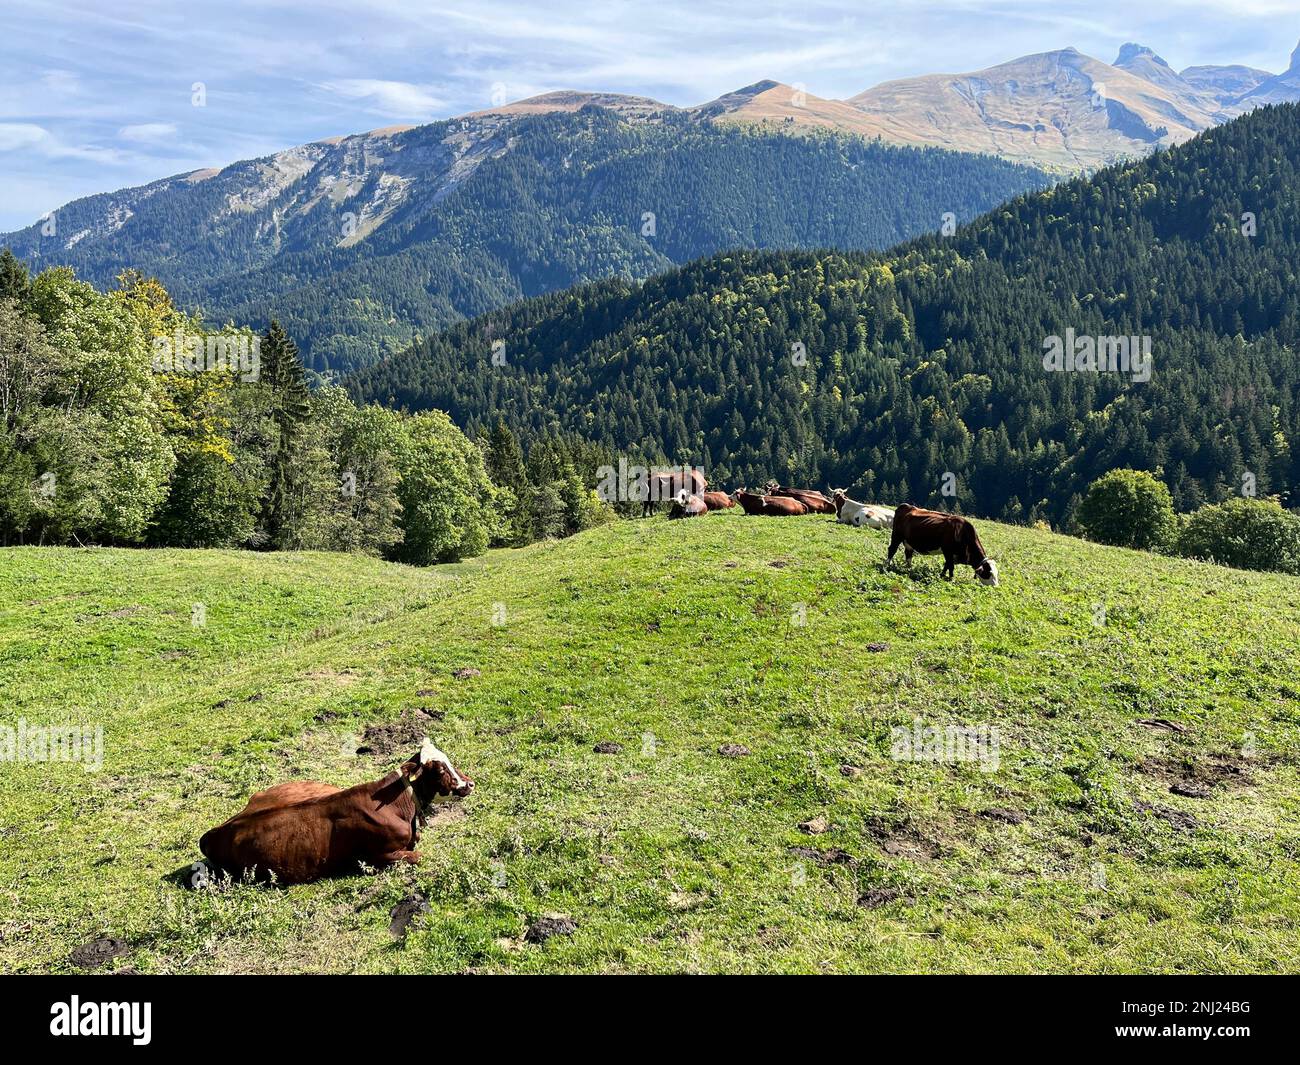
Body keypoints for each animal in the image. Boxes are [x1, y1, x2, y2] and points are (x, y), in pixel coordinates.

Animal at [198, 738, 474, 885]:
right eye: (440, 770)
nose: (470, 783)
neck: (398, 806)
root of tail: (212, 833)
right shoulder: (378, 856)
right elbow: (417, 856)